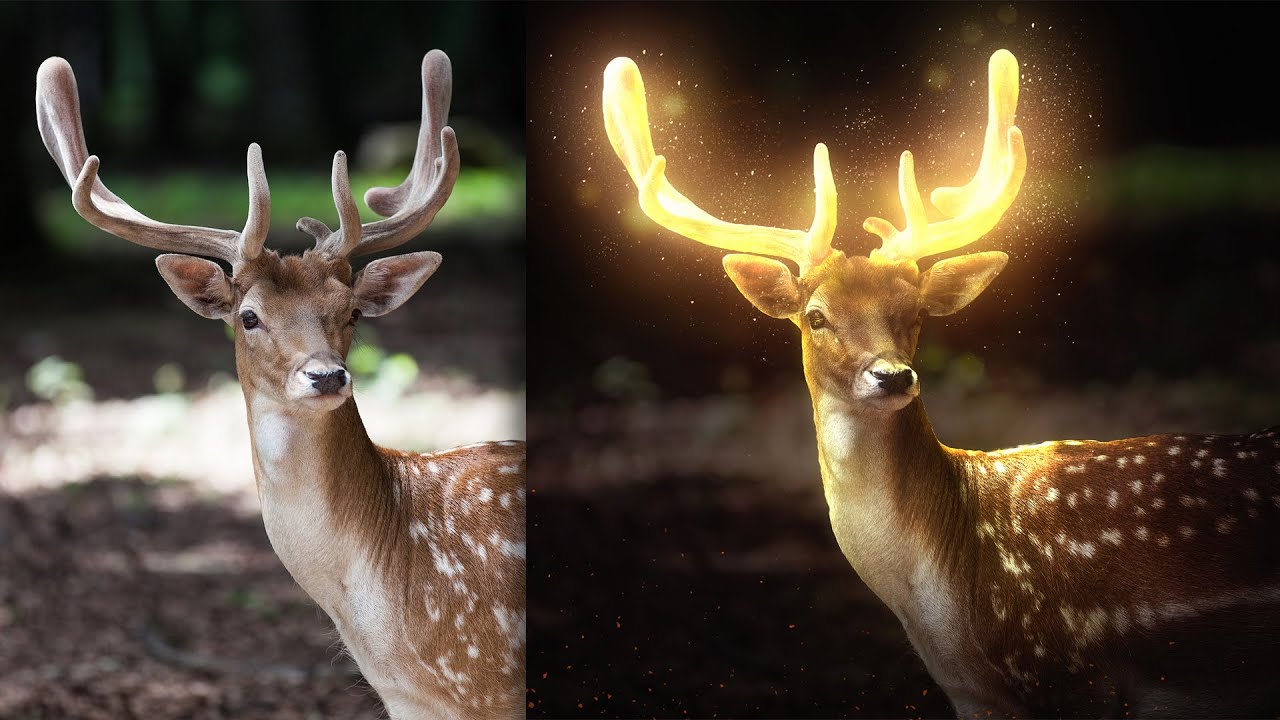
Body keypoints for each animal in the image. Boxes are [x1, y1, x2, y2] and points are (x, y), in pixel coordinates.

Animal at [603, 49, 1280, 717]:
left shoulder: (1074, 674)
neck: (946, 604)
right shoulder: (971, 693)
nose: (892, 374)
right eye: (815, 316)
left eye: (914, 314)